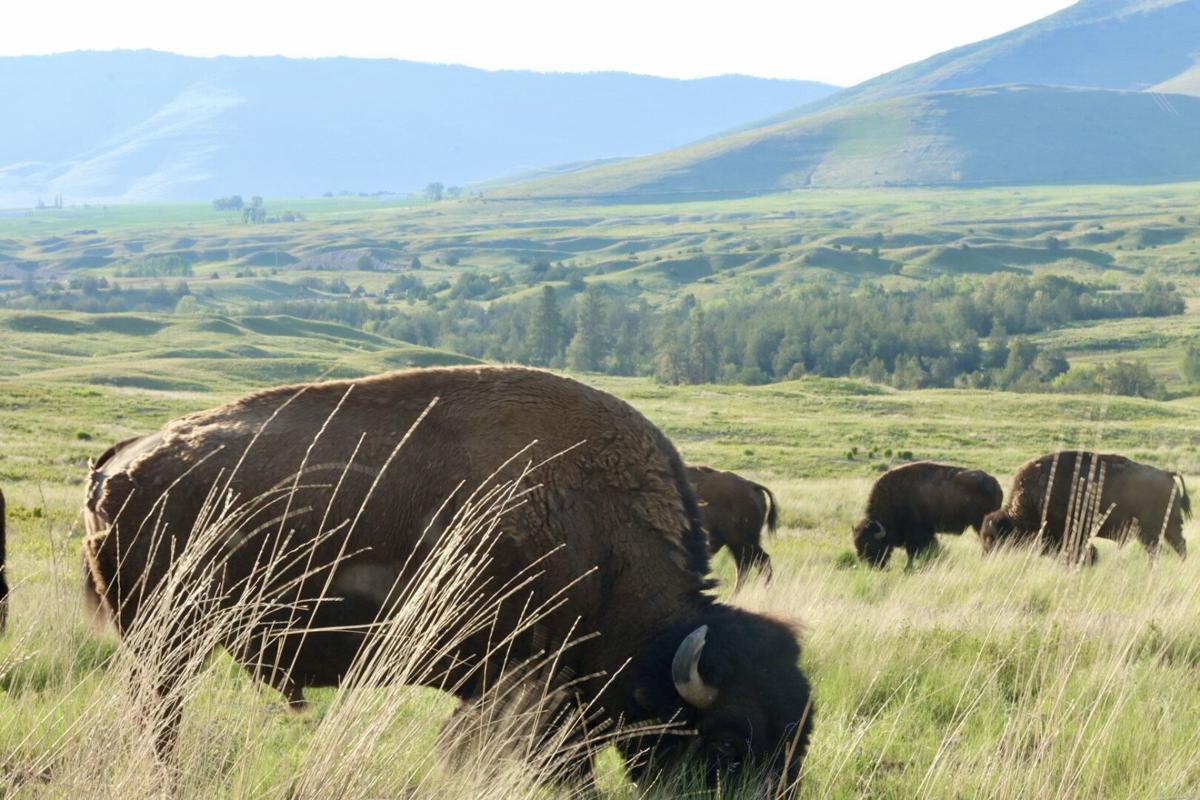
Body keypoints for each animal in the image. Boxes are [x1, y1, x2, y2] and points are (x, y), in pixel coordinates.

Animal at [83, 366, 813, 790]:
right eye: (728, 744)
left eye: (799, 735)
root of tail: (123, 458)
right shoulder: (531, 685)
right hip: (168, 640)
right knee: (160, 715)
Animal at [853, 462, 1003, 568]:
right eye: (857, 545)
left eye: (871, 544)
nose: (871, 566)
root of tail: (996, 484)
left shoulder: (916, 535)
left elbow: (913, 552)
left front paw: (908, 569)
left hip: (981, 524)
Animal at [980, 451, 1190, 563]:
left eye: (993, 539)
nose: (987, 556)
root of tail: (1167, 474)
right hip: (1161, 529)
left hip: (1153, 530)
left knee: (1168, 548)